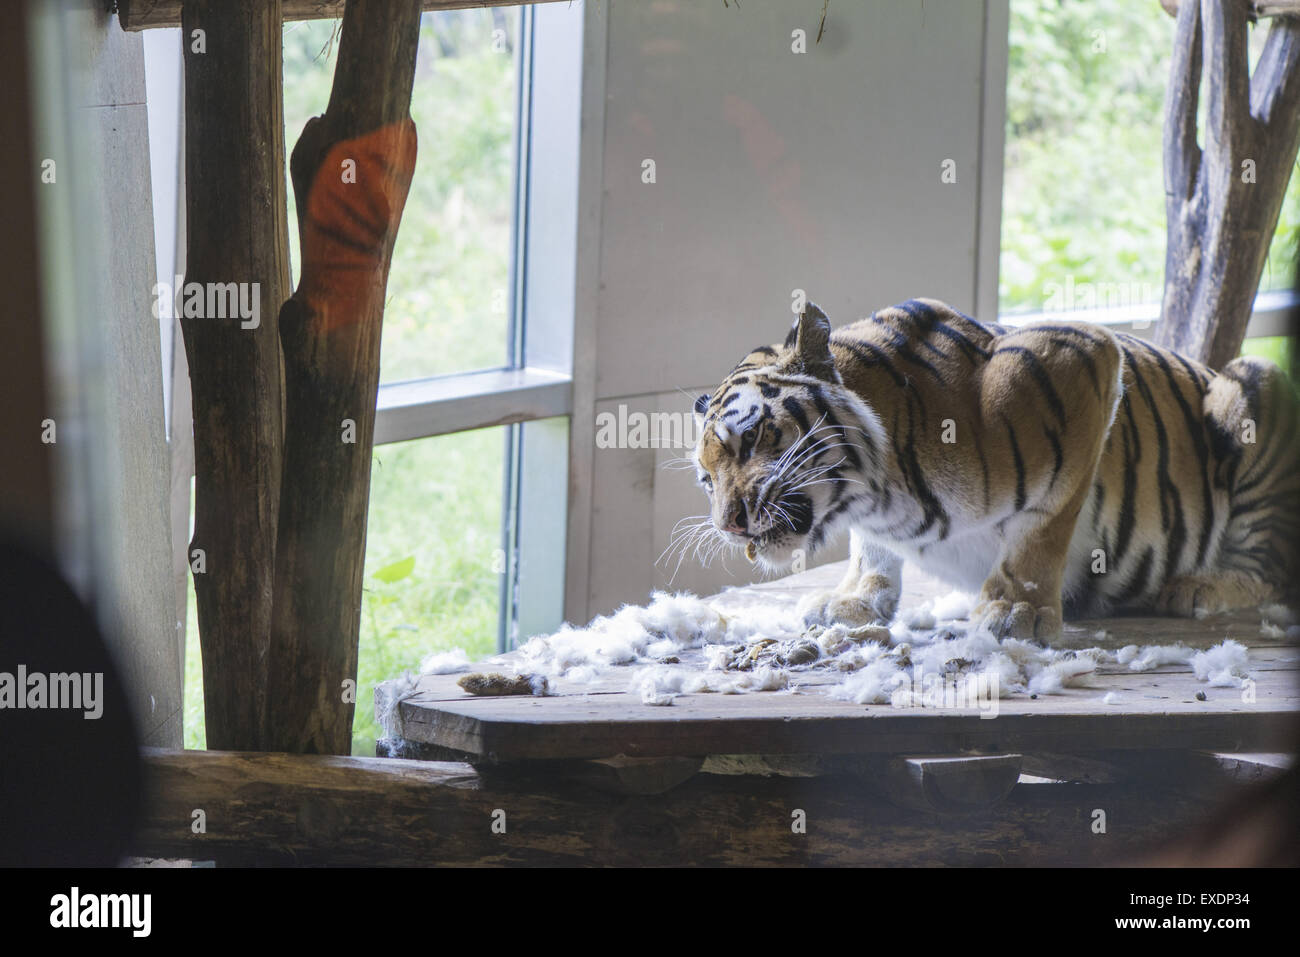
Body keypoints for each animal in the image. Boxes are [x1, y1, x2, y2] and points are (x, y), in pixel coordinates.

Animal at [690, 298, 1299, 639]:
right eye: (705, 479)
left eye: (751, 437)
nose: (728, 525)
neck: (875, 496)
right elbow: (872, 550)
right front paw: (856, 599)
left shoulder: (1082, 355)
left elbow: (1042, 528)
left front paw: (1015, 610)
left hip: (1255, 381)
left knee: (1270, 569)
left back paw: (1195, 588)